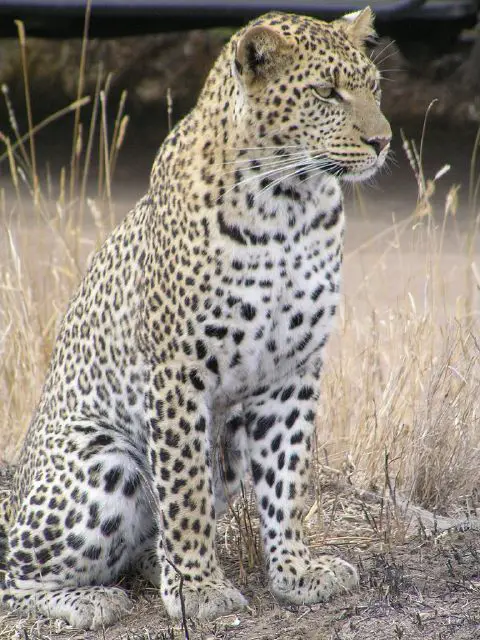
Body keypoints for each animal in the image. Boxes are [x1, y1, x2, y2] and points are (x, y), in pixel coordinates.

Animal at [0, 7, 391, 630]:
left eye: (373, 89)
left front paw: (297, 571)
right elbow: (183, 494)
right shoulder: (179, 373)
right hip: (105, 463)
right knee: (16, 573)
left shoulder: (292, 370)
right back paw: (90, 600)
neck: (292, 205)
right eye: (326, 92)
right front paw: (199, 590)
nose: (382, 142)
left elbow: (288, 478)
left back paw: (147, 569)